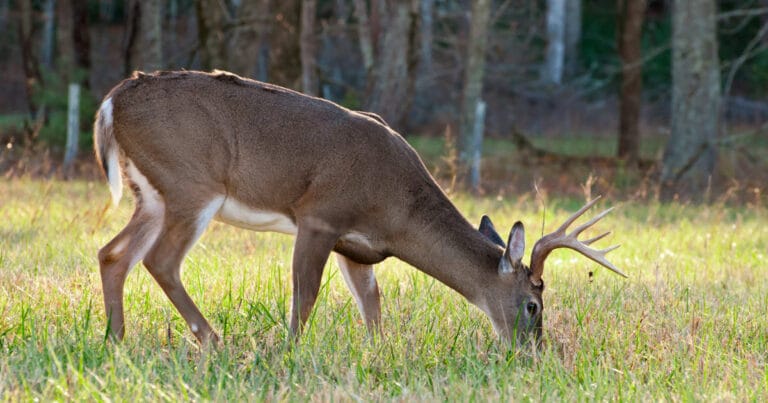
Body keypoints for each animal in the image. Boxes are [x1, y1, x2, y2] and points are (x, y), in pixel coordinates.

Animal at [93, 70, 625, 347]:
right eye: (533, 304)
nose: (532, 351)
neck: (397, 211)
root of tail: (111, 101)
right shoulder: (319, 215)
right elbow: (305, 295)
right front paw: (289, 352)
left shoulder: (357, 247)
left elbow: (372, 306)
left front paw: (378, 355)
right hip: (191, 183)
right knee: (160, 260)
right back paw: (212, 339)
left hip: (152, 195)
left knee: (113, 254)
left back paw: (116, 340)